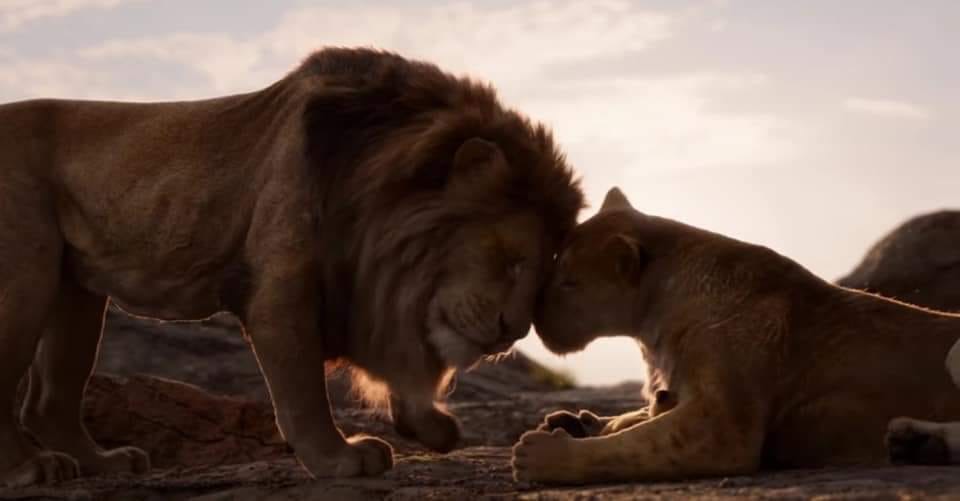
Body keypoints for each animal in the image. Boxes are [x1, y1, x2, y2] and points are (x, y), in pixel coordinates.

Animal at [0, 47, 584, 487]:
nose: (512, 333)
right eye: (513, 261)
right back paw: (31, 470)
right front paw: (340, 458)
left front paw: (430, 427)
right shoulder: (281, 291)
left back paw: (105, 463)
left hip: (75, 289)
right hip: (25, 272)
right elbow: (303, 392)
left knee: (48, 400)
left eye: (541, 277)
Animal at [511, 187, 960, 485]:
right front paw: (578, 421)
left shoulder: (724, 428)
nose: (533, 318)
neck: (652, 321)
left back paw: (920, 446)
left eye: (568, 281)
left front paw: (544, 453)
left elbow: (633, 445)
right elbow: (637, 420)